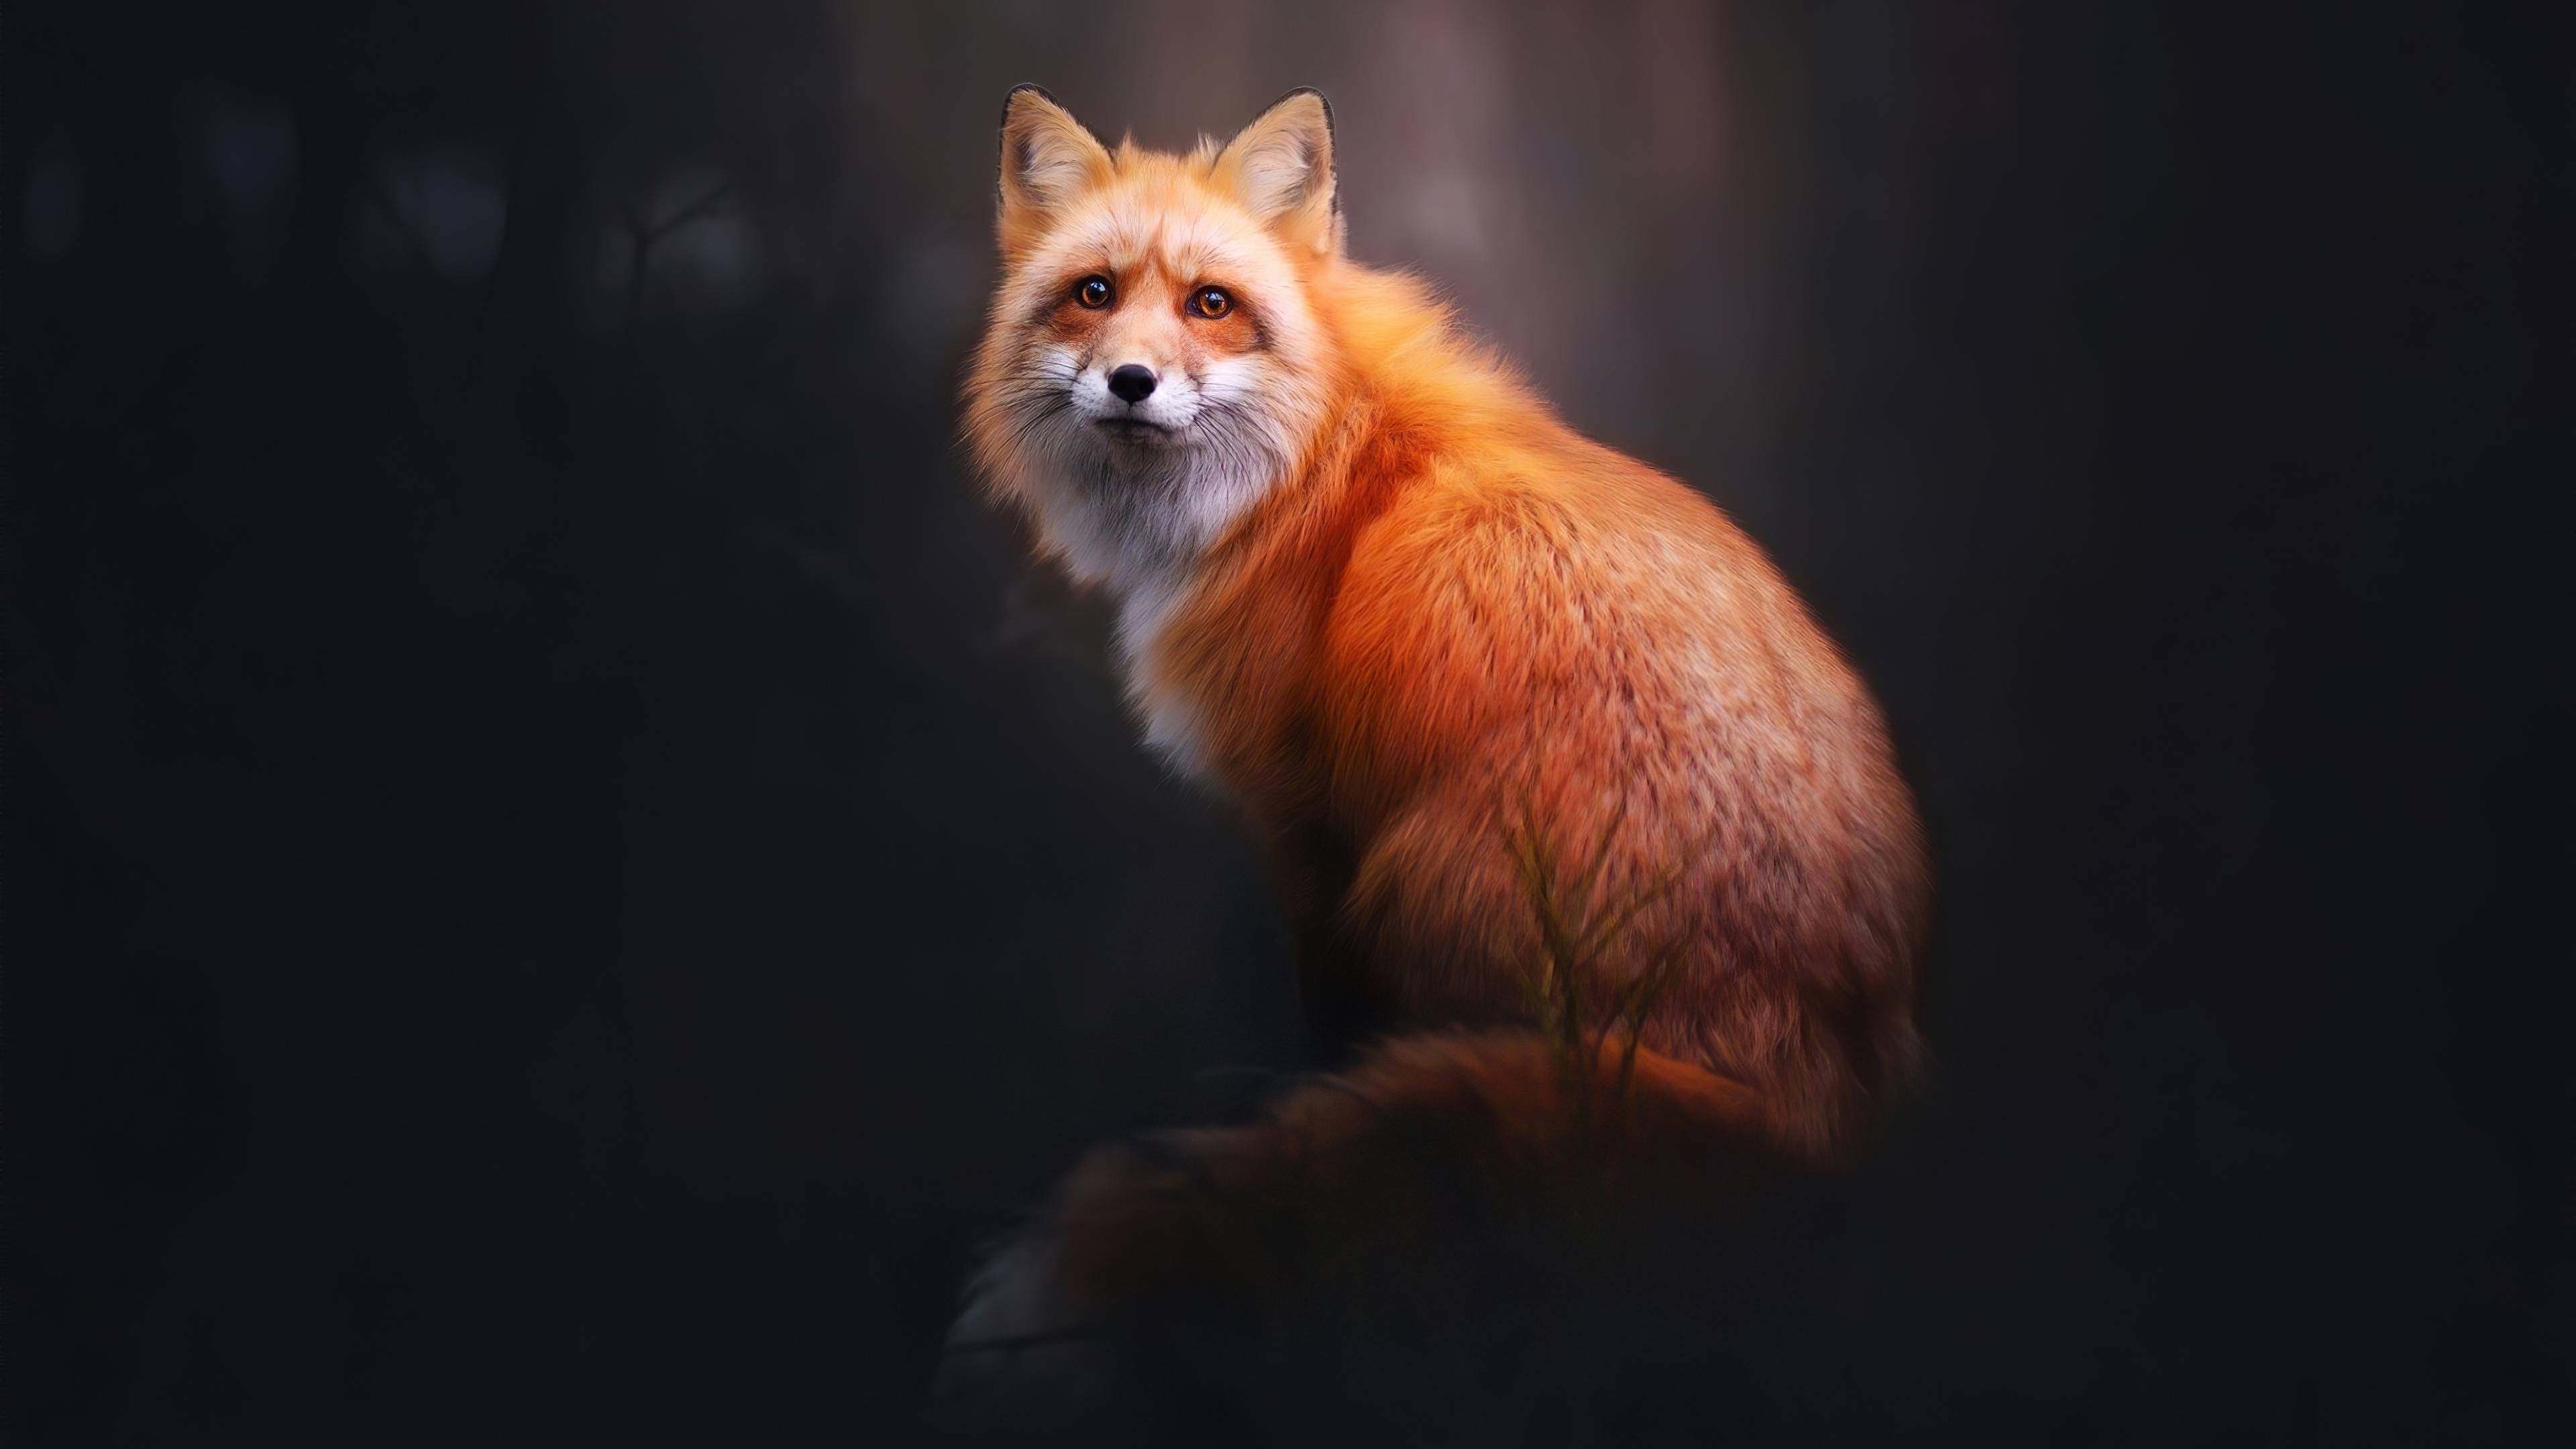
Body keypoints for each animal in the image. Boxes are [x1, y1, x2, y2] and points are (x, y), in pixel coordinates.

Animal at [938, 85, 1930, 1434]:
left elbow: (1332, 1043)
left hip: (1412, 885)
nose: (1132, 383)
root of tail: (1816, 1092)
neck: (1321, 460)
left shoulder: (1307, 824)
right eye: (1094, 294)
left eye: (1211, 304)